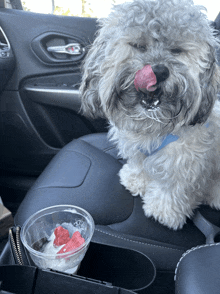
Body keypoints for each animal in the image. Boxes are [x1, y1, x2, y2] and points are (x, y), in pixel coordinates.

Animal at [80, 0, 220, 230]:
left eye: (177, 50)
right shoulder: (137, 147)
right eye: (138, 45)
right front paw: (136, 180)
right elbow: (139, 163)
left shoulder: (185, 160)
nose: (159, 71)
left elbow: (172, 186)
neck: (153, 126)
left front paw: (163, 211)